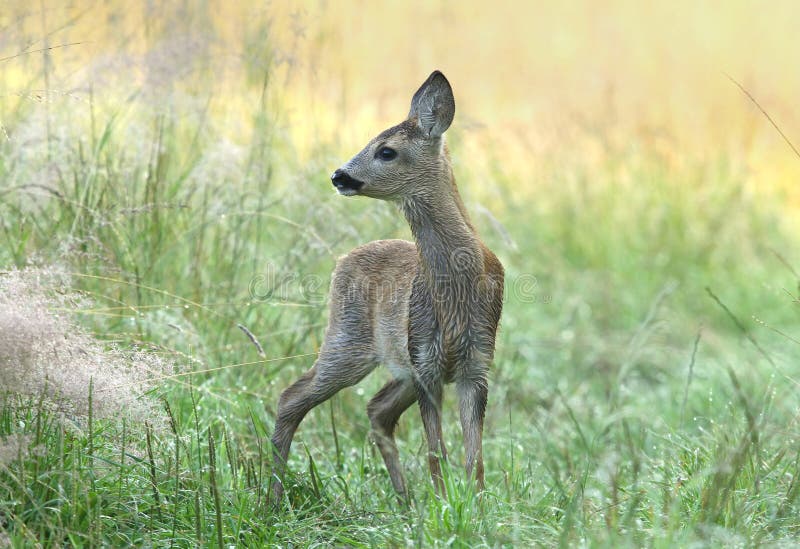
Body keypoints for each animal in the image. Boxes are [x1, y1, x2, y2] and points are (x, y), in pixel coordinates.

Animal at [269, 70, 504, 503]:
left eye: (387, 151)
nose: (338, 176)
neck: (459, 288)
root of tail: (342, 261)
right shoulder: (426, 360)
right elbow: (436, 453)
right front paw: (445, 506)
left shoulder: (476, 363)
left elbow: (474, 457)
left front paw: (475, 508)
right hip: (348, 343)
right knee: (292, 396)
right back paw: (272, 500)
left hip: (393, 364)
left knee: (377, 410)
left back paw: (405, 502)